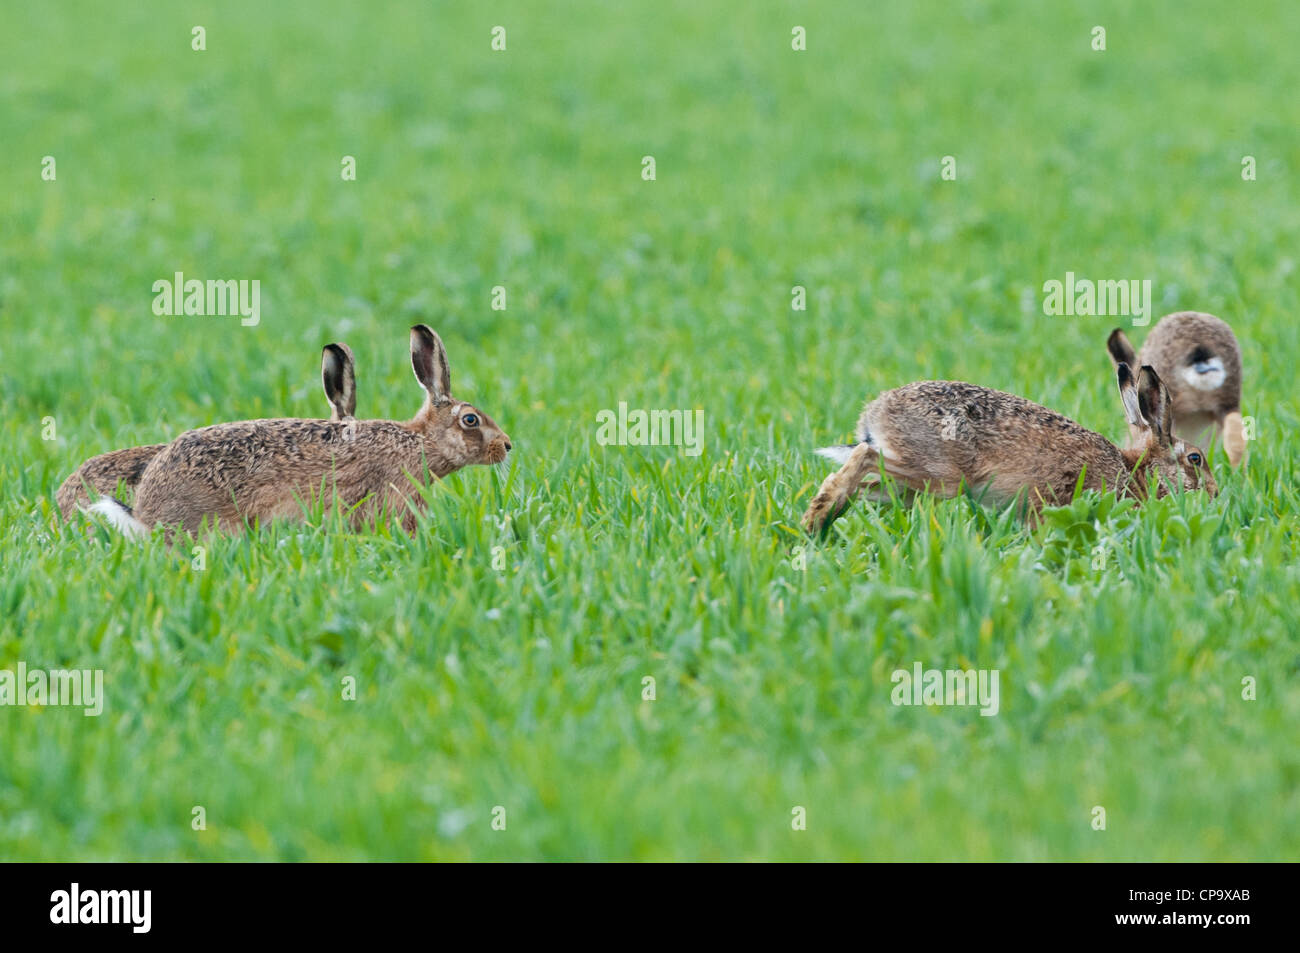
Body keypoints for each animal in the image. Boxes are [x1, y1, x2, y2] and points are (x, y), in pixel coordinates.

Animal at [801, 363, 1216, 535]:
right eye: (1196, 459)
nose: (1214, 493)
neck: (1135, 472)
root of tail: (874, 415)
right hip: (937, 475)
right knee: (862, 459)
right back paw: (818, 516)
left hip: (907, 486)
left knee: (863, 484)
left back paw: (817, 521)